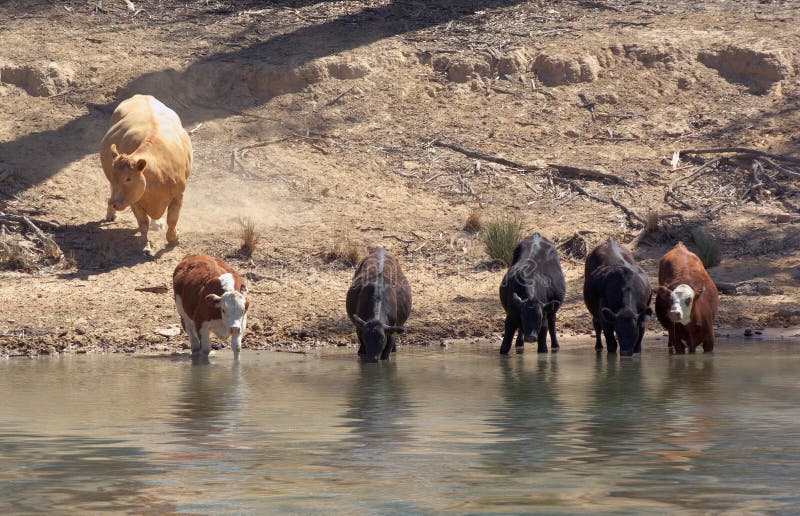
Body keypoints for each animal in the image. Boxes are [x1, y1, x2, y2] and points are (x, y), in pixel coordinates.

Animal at [100, 94, 192, 255]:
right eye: (113, 176)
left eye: (128, 178)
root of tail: (142, 96)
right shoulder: (134, 200)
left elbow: (172, 220)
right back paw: (111, 214)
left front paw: (173, 238)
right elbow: (143, 223)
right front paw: (145, 245)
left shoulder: (178, 195)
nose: (114, 204)